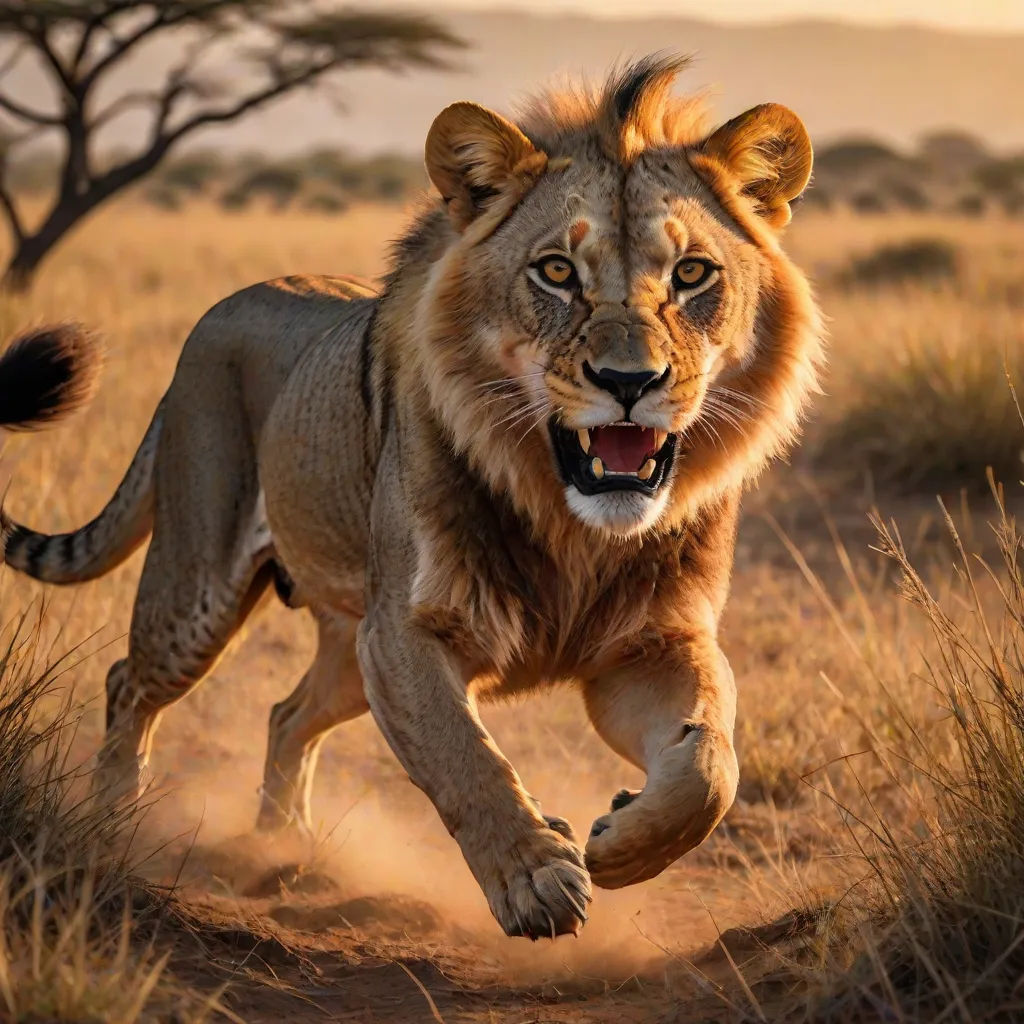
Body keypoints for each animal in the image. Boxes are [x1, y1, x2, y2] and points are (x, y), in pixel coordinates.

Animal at [1, 55, 823, 940]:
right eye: (557, 272)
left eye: (692, 273)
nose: (630, 383)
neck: (572, 523)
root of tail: (218, 313)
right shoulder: (404, 633)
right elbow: (466, 757)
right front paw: (535, 877)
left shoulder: (653, 642)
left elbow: (709, 761)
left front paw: (623, 842)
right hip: (199, 590)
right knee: (130, 681)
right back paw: (116, 821)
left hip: (344, 652)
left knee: (286, 714)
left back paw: (287, 846)